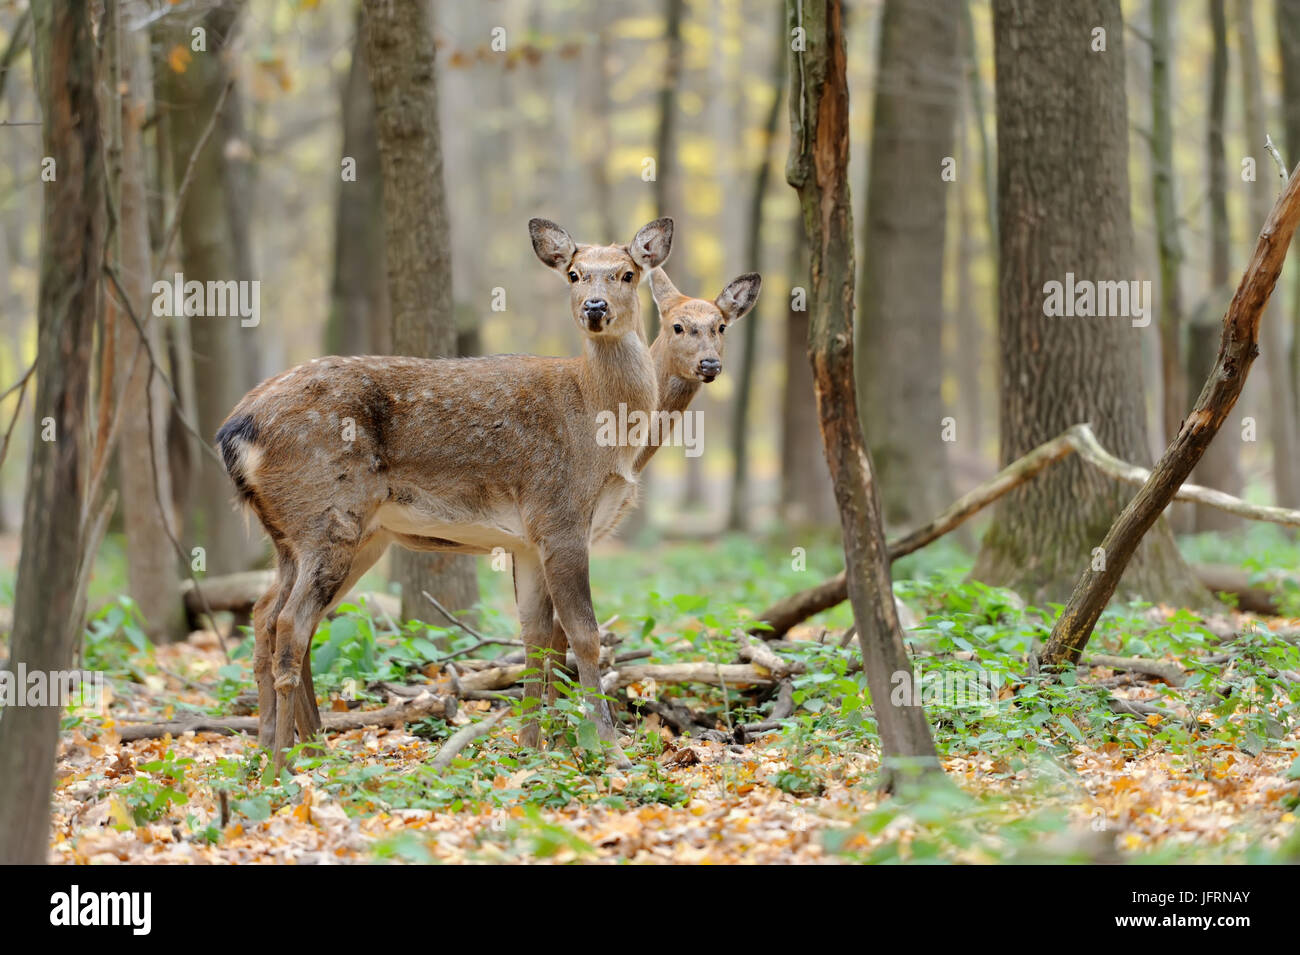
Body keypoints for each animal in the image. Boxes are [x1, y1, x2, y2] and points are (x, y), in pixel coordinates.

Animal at [216, 217, 673, 771]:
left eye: (628, 273)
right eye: (574, 273)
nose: (595, 307)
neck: (604, 426)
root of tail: (236, 429)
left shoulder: (527, 540)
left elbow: (536, 640)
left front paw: (531, 749)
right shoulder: (560, 513)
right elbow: (586, 637)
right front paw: (611, 751)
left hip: (309, 535)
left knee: (267, 616)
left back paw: (287, 747)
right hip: (327, 516)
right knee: (290, 625)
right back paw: (283, 763)